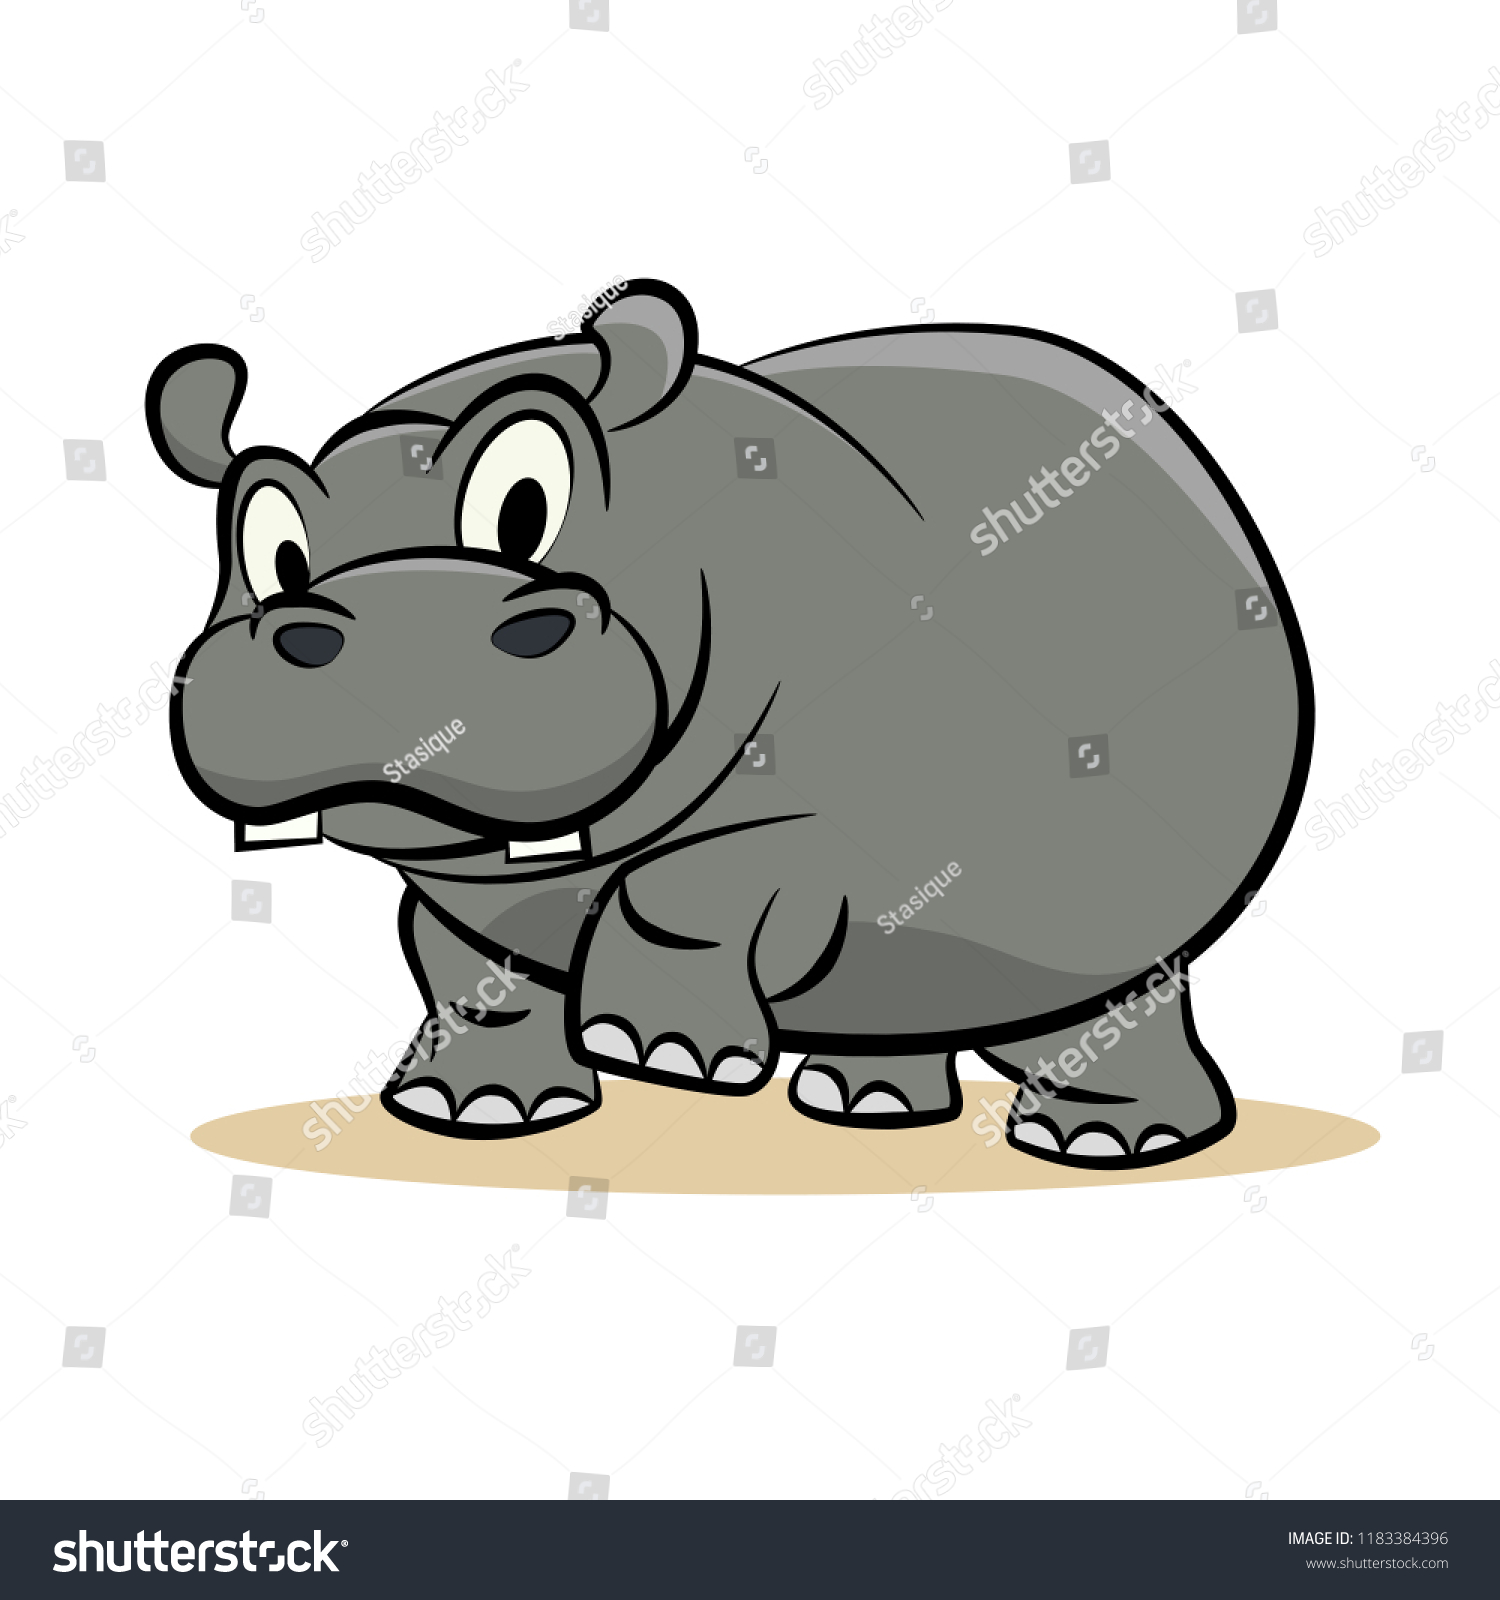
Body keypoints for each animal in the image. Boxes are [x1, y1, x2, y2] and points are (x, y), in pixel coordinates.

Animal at [146, 280, 1311, 1169]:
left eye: (528, 498)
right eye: (270, 546)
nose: (322, 626)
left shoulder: (810, 834)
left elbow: (685, 894)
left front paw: (657, 1053)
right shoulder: (465, 899)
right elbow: (470, 981)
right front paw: (473, 1112)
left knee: (1112, 1009)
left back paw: (1111, 1145)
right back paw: (864, 1104)